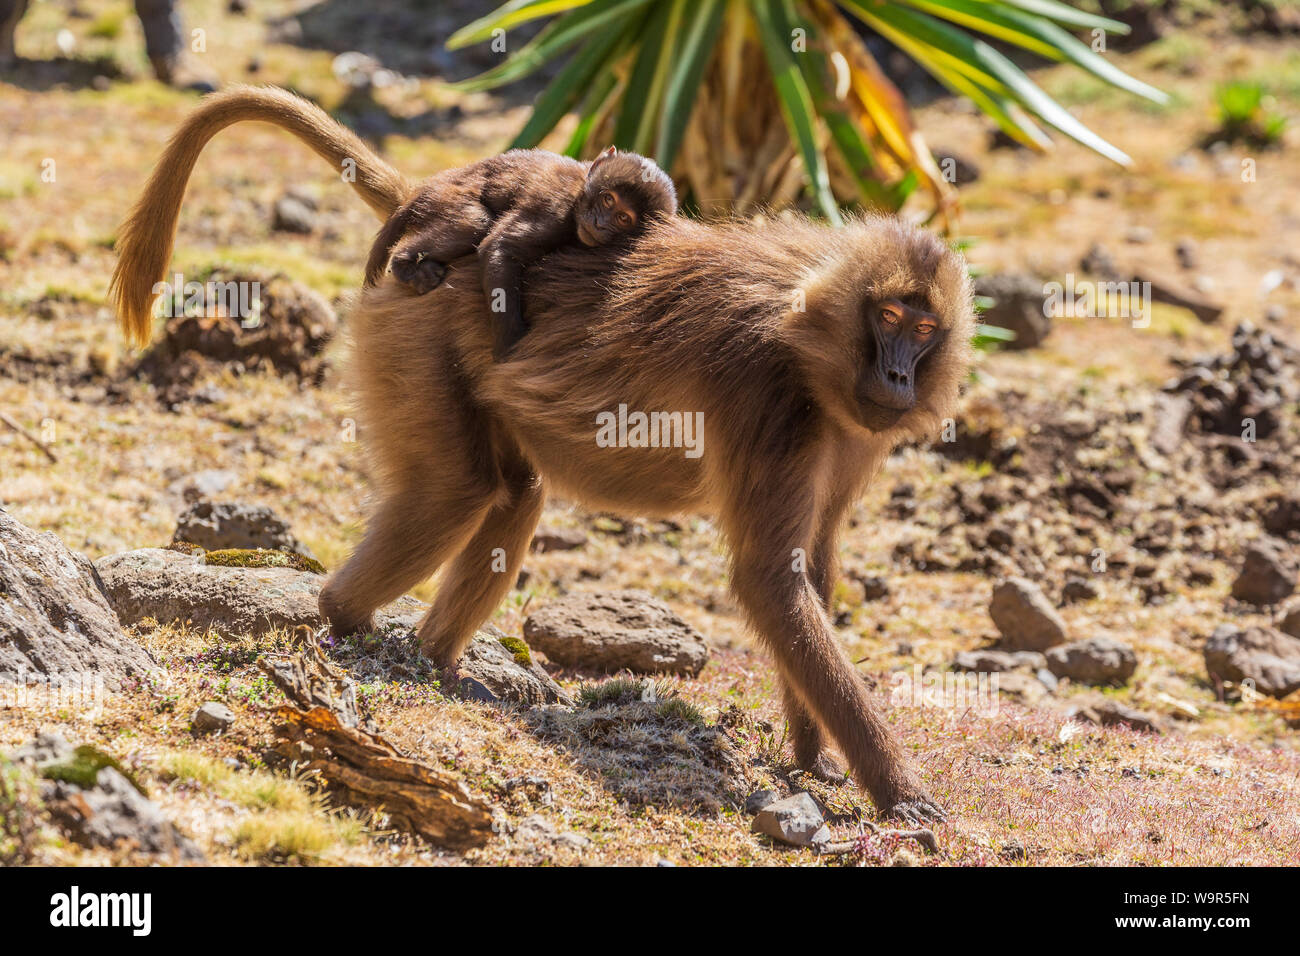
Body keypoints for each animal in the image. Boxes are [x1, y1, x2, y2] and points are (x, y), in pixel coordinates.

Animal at [364, 146, 677, 359]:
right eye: (608, 199)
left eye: (623, 218)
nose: (599, 223)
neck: (579, 193)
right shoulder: (556, 208)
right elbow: (500, 248)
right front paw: (509, 348)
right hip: (446, 197)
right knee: (474, 222)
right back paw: (405, 264)